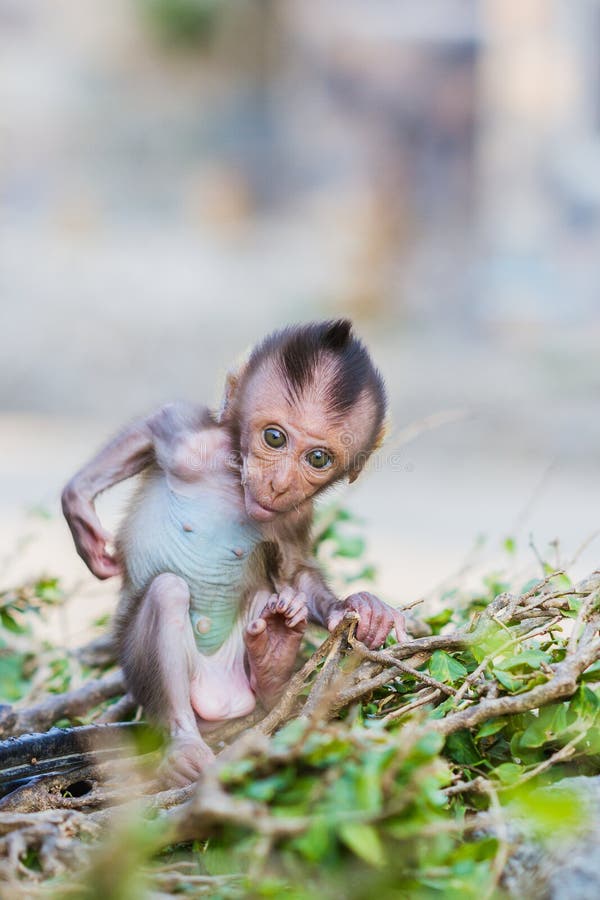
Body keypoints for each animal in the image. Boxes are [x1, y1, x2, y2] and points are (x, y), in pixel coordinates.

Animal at [61, 320, 406, 785]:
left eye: (318, 458)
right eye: (274, 437)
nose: (279, 484)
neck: (234, 477)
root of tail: (219, 699)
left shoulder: (294, 515)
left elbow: (296, 572)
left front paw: (359, 608)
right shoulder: (188, 440)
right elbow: (155, 424)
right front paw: (79, 509)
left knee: (269, 599)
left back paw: (274, 662)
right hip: (142, 671)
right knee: (167, 593)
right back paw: (184, 742)